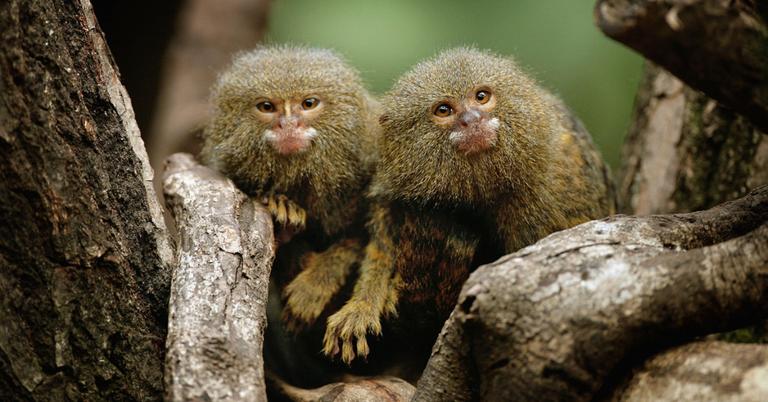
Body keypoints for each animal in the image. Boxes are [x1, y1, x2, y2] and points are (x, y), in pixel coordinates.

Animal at [199, 45, 380, 332]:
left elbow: (362, 243)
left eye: (308, 104)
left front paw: (316, 283)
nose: (289, 125)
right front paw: (282, 209)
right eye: (266, 107)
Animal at [323, 47, 617, 365]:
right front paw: (362, 306)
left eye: (482, 96)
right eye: (444, 110)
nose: (472, 119)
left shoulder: (552, 191)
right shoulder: (396, 184)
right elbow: (382, 248)